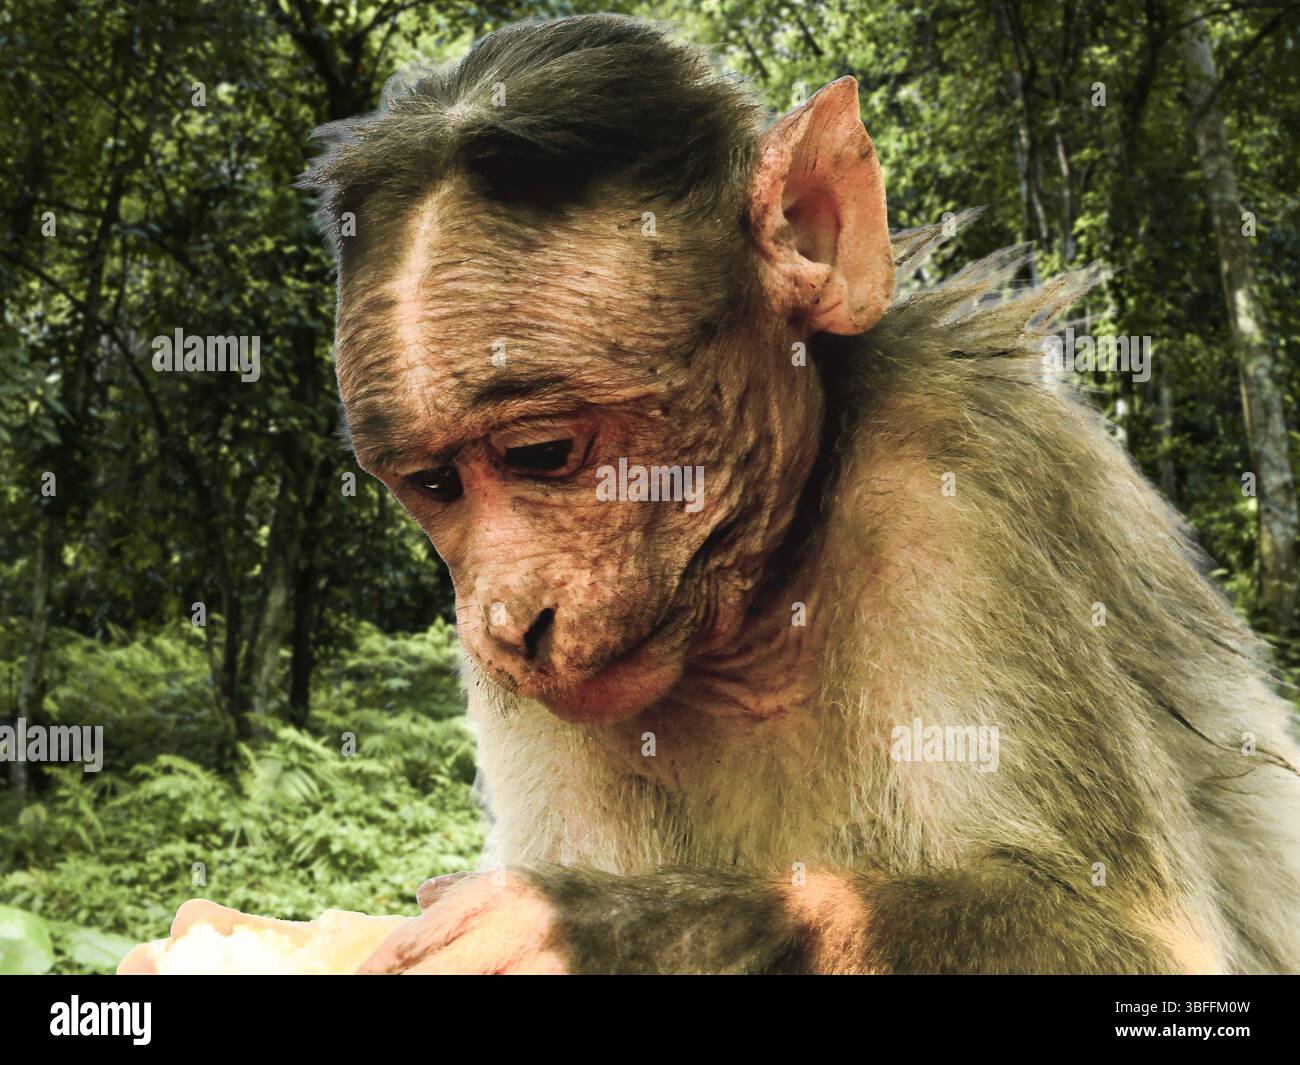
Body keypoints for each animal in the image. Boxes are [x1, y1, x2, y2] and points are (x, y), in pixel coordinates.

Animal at [293, 14, 1300, 974]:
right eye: (435, 484)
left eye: (541, 453)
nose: (507, 622)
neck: (762, 611)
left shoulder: (961, 477)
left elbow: (1126, 931)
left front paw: (577, 928)